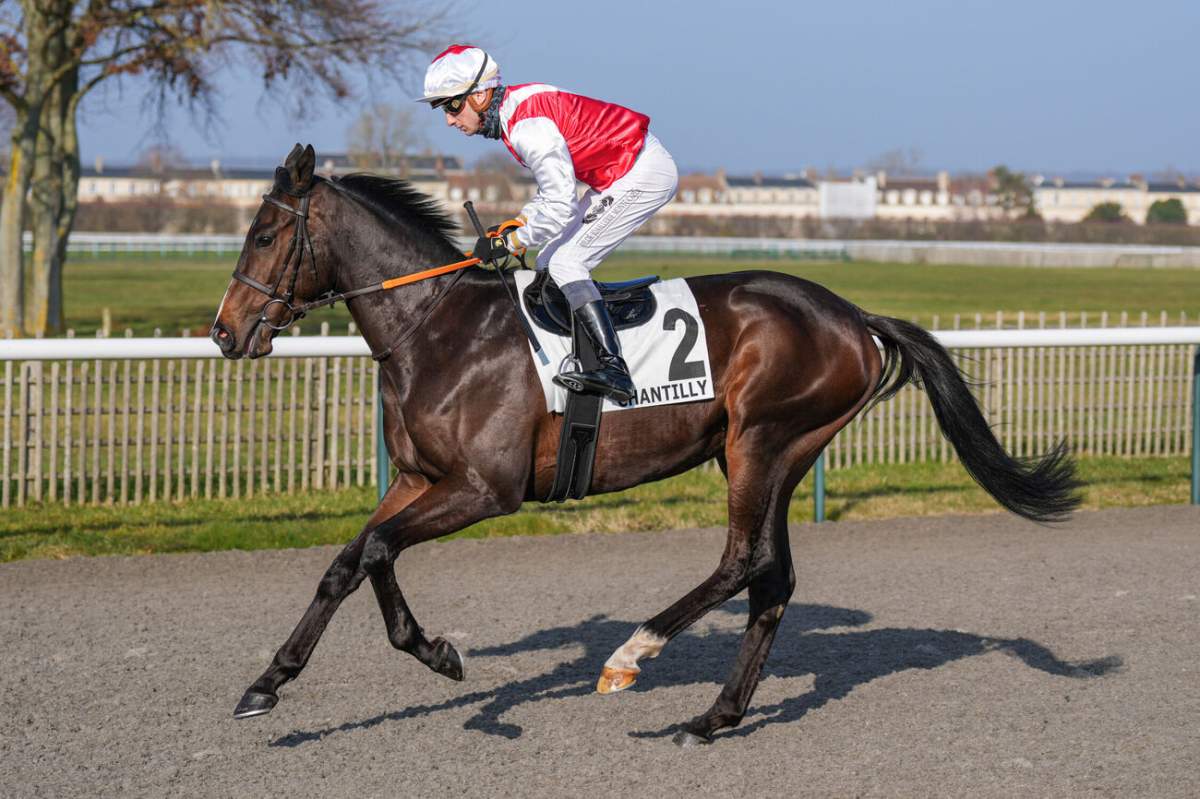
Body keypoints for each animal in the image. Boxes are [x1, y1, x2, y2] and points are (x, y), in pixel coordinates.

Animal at [210, 144, 1079, 746]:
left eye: (264, 232)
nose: (223, 332)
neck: (439, 329)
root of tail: (855, 316)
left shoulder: (485, 489)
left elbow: (378, 549)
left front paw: (446, 664)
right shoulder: (419, 478)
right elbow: (353, 559)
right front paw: (273, 681)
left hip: (764, 441)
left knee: (743, 561)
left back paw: (632, 655)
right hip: (769, 451)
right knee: (772, 579)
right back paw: (714, 715)